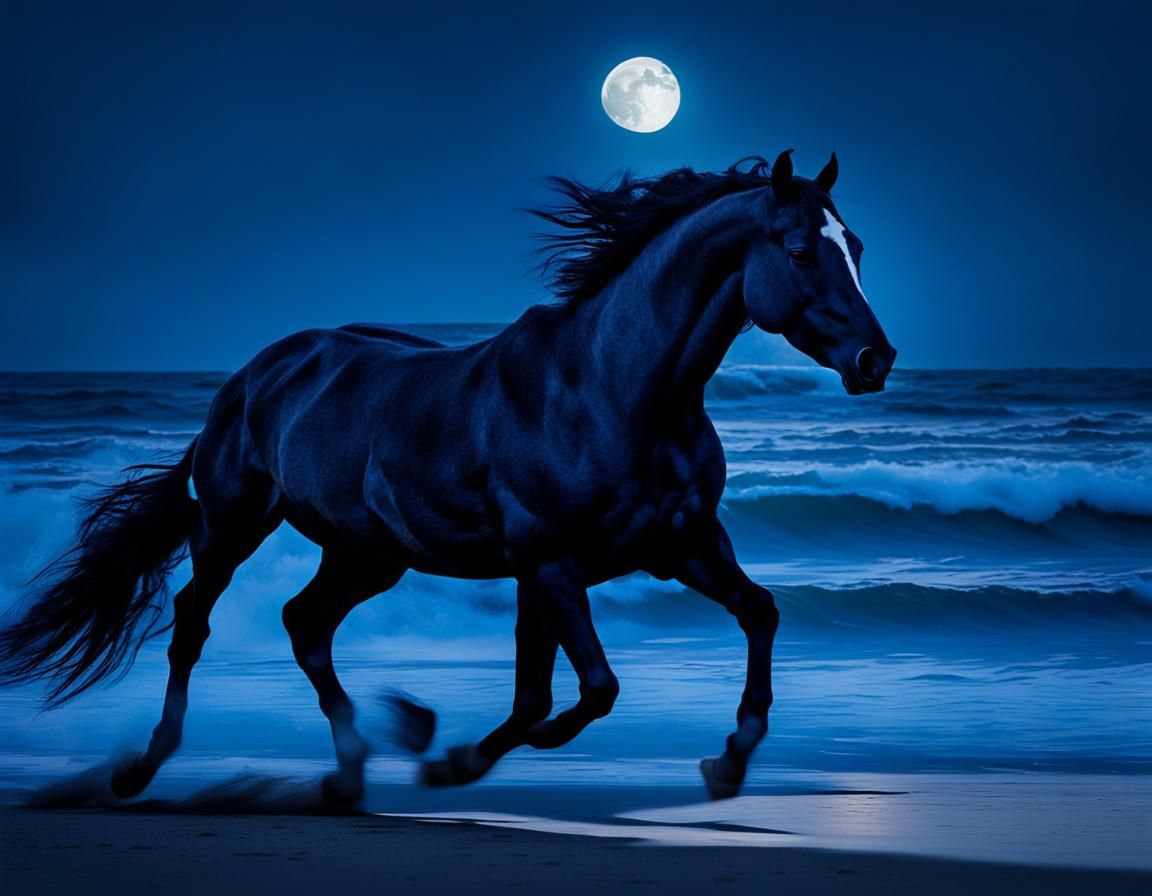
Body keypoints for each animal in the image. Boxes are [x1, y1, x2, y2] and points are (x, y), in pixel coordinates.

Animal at [0, 150, 896, 805]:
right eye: (799, 249)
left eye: (858, 247)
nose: (875, 360)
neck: (615, 388)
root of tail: (255, 374)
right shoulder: (549, 563)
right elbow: (588, 690)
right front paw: (445, 755)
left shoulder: (678, 547)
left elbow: (753, 616)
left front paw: (728, 762)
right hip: (232, 522)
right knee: (194, 620)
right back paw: (143, 768)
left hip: (366, 554)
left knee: (304, 621)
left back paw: (352, 770)